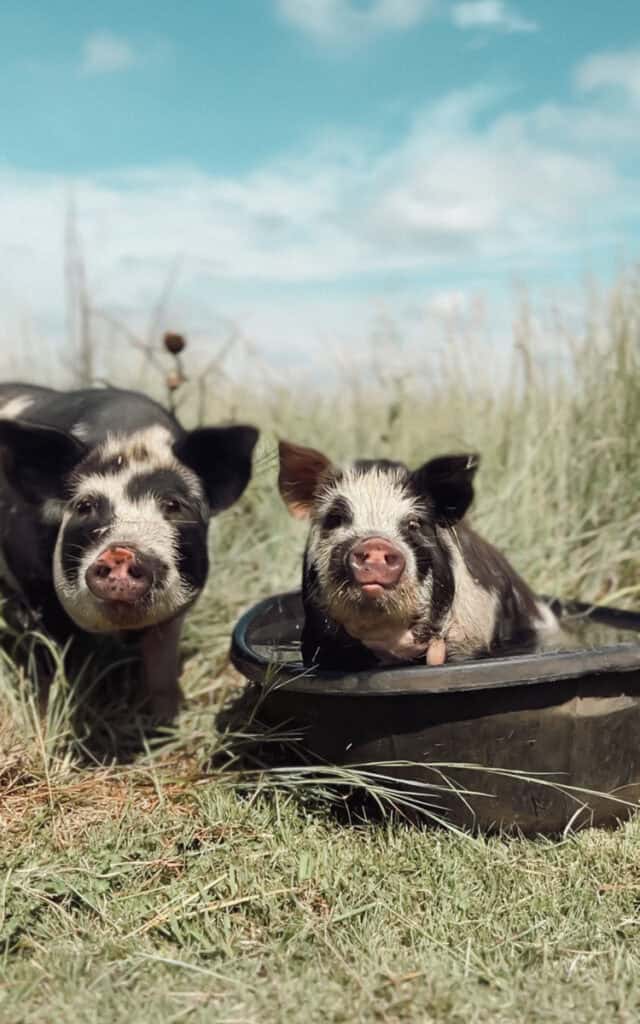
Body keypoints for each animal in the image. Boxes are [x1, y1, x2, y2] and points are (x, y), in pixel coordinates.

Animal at [0, 383, 258, 719]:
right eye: (85, 506)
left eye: (173, 504)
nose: (121, 552)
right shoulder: (35, 589)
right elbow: (50, 663)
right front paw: (48, 716)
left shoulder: (173, 616)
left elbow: (161, 670)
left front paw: (167, 721)